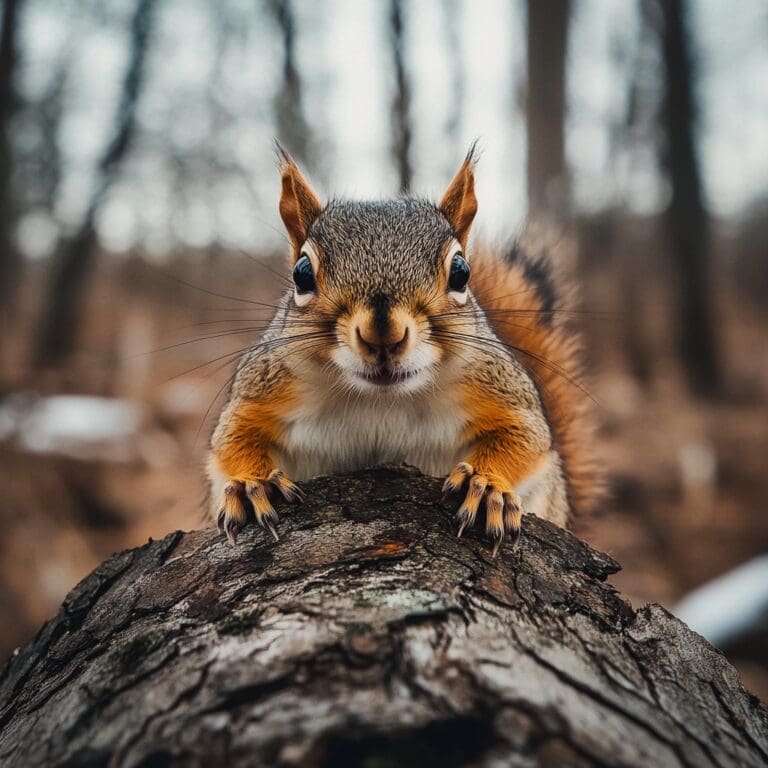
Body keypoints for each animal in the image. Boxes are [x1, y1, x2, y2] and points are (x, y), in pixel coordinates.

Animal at [207, 146, 599, 556]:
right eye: (301, 274)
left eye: (461, 272)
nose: (384, 335)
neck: (380, 401)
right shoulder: (265, 387)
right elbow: (234, 437)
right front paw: (251, 484)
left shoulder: (500, 389)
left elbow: (524, 438)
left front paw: (487, 486)